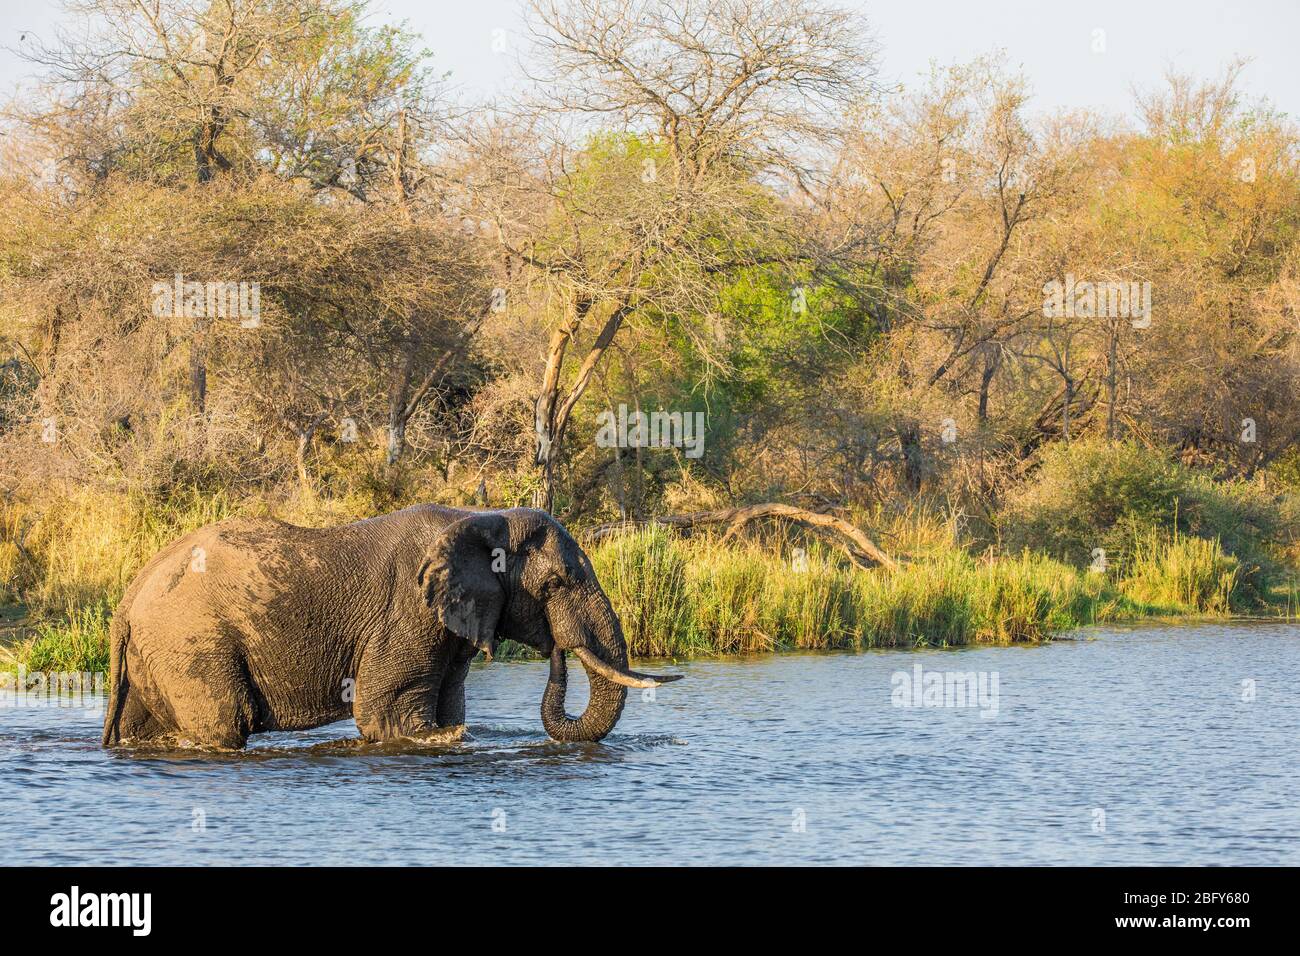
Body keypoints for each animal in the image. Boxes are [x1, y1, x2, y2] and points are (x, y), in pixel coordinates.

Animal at [101, 505, 680, 749]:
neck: (482, 517)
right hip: (191, 643)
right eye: (558, 583)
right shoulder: (407, 615)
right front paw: (444, 736)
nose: (559, 647)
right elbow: (384, 713)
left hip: (158, 653)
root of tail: (128, 599)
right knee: (224, 724)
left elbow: (445, 702)